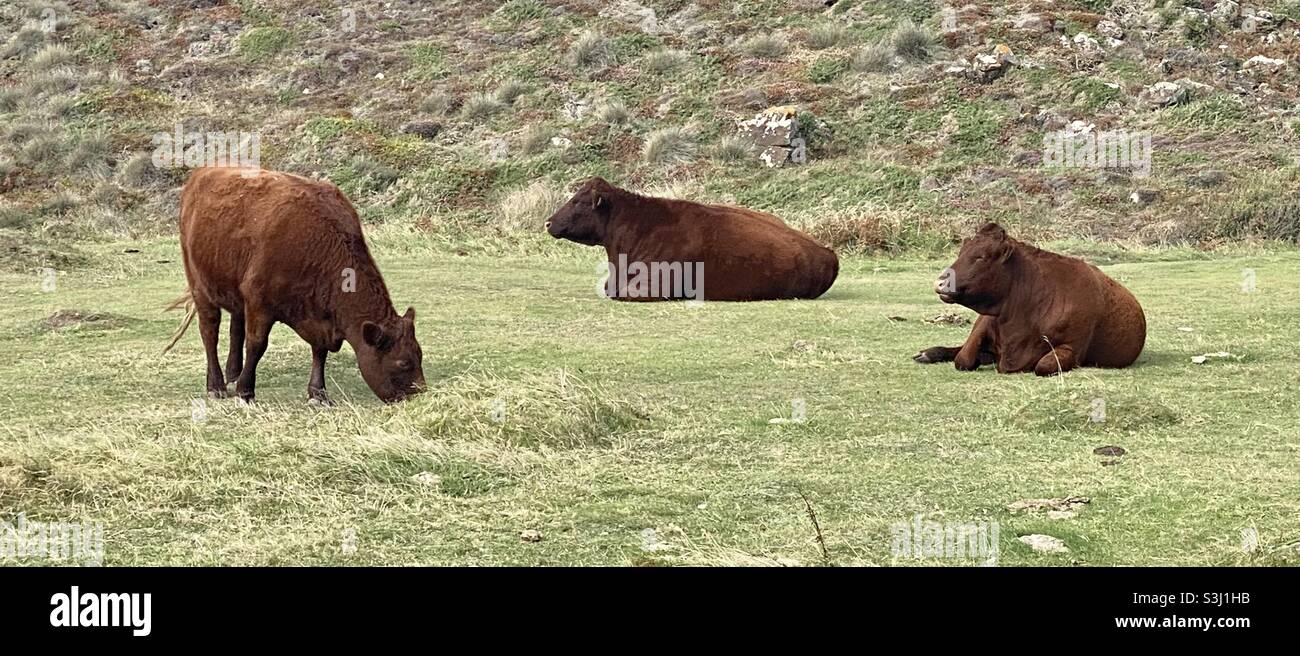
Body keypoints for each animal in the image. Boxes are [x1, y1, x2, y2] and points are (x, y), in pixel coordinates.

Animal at [164, 167, 425, 404]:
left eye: (419, 354)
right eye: (403, 362)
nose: (421, 393)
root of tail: (201, 173)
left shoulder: (320, 315)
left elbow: (319, 351)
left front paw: (318, 393)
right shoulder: (259, 303)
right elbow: (257, 345)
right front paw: (245, 391)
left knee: (235, 327)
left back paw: (232, 374)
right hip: (200, 285)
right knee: (209, 332)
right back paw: (216, 386)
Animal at [913, 222, 1146, 375]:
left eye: (981, 257)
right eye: (961, 253)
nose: (940, 282)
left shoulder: (1073, 347)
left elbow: (1042, 366)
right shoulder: (985, 324)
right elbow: (963, 358)